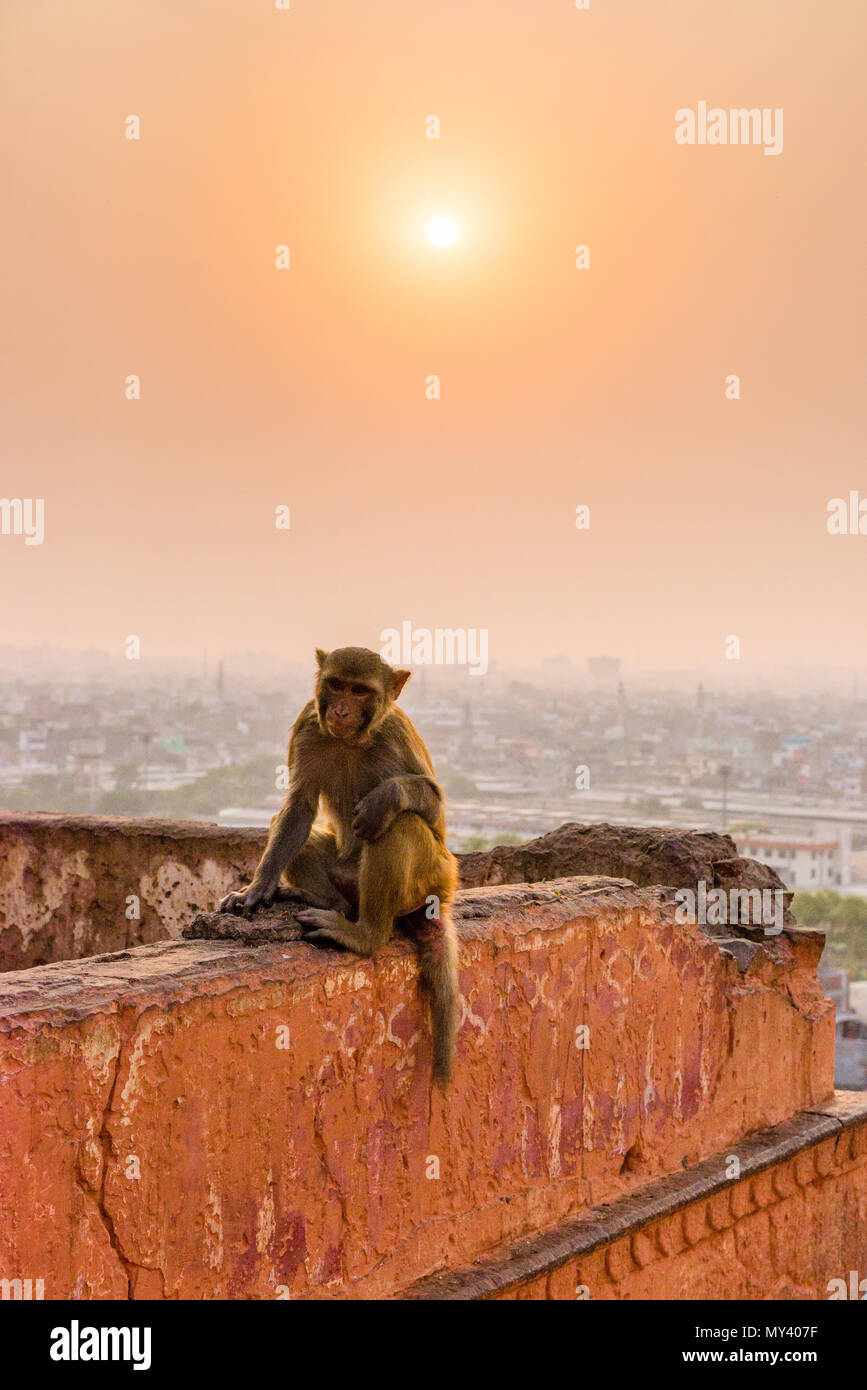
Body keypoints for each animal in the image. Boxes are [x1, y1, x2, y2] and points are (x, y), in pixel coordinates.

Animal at [219, 647, 460, 1084]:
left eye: (360, 690)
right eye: (336, 685)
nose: (342, 710)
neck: (352, 740)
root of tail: (444, 893)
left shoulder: (396, 733)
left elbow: (432, 802)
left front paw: (386, 797)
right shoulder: (307, 725)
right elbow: (298, 807)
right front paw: (257, 888)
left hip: (432, 877)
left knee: (399, 826)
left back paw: (363, 935)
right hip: (349, 875)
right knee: (299, 832)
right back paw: (328, 903)